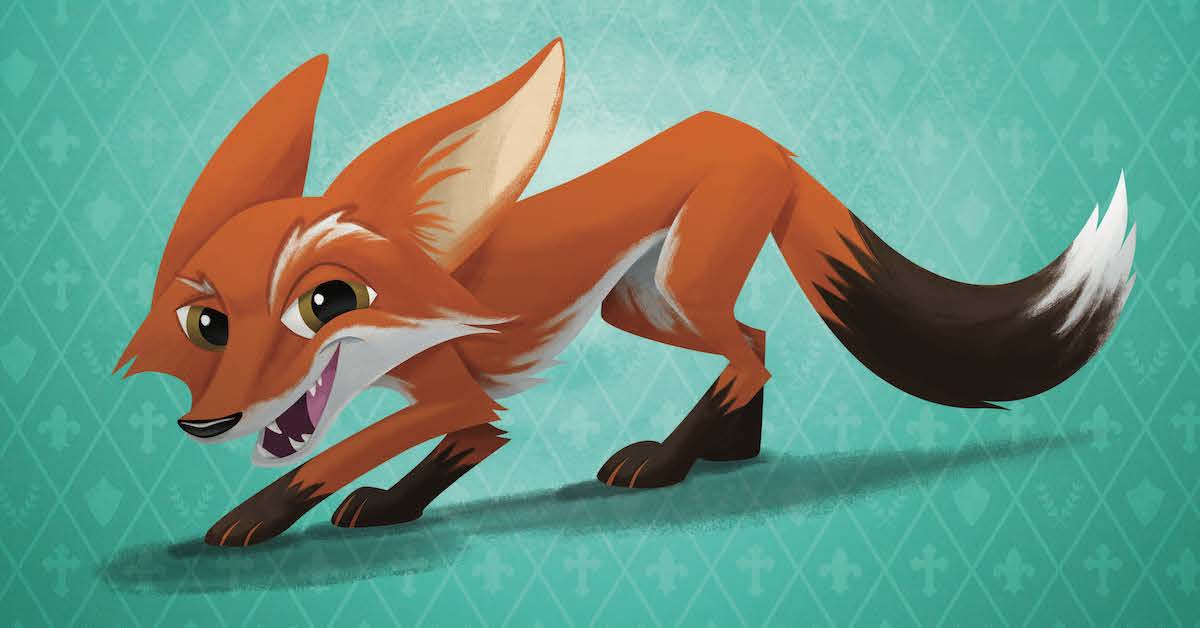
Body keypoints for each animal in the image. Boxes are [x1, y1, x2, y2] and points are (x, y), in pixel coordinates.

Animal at [117, 39, 1136, 547]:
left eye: (327, 303)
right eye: (207, 324)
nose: (206, 425)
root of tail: (763, 138)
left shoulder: (445, 390)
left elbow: (335, 455)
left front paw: (257, 519)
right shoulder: (463, 405)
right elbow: (469, 445)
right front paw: (398, 508)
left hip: (675, 290)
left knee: (743, 353)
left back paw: (672, 464)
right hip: (639, 303)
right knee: (757, 343)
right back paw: (726, 450)